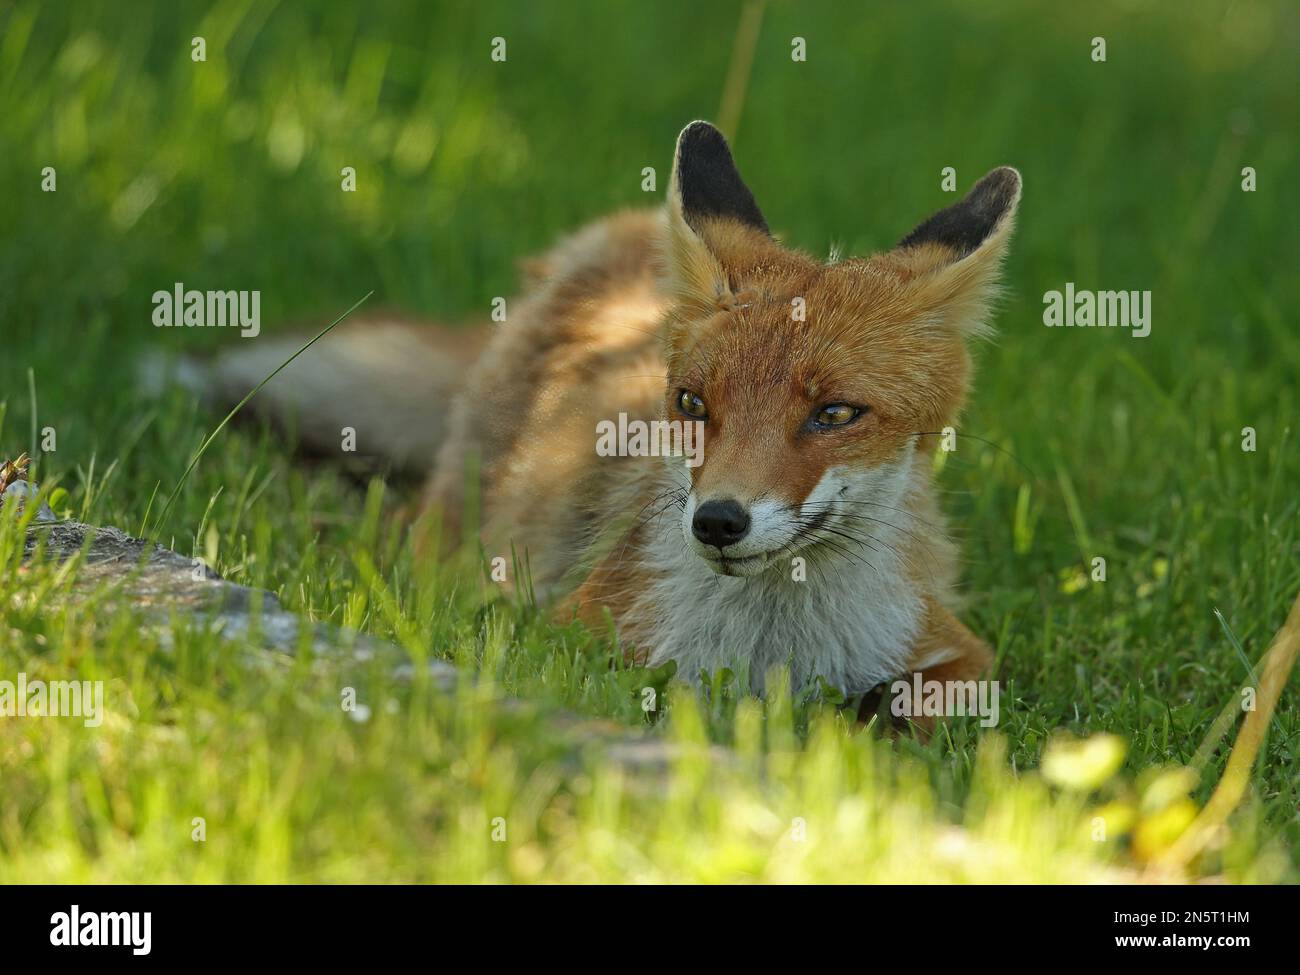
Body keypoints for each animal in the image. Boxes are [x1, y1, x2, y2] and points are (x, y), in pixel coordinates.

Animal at [193, 121, 1021, 721]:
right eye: (692, 405)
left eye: (834, 413)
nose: (718, 521)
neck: (771, 651)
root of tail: (611, 238)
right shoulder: (575, 640)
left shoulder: (957, 649)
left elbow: (913, 703)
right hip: (451, 543)